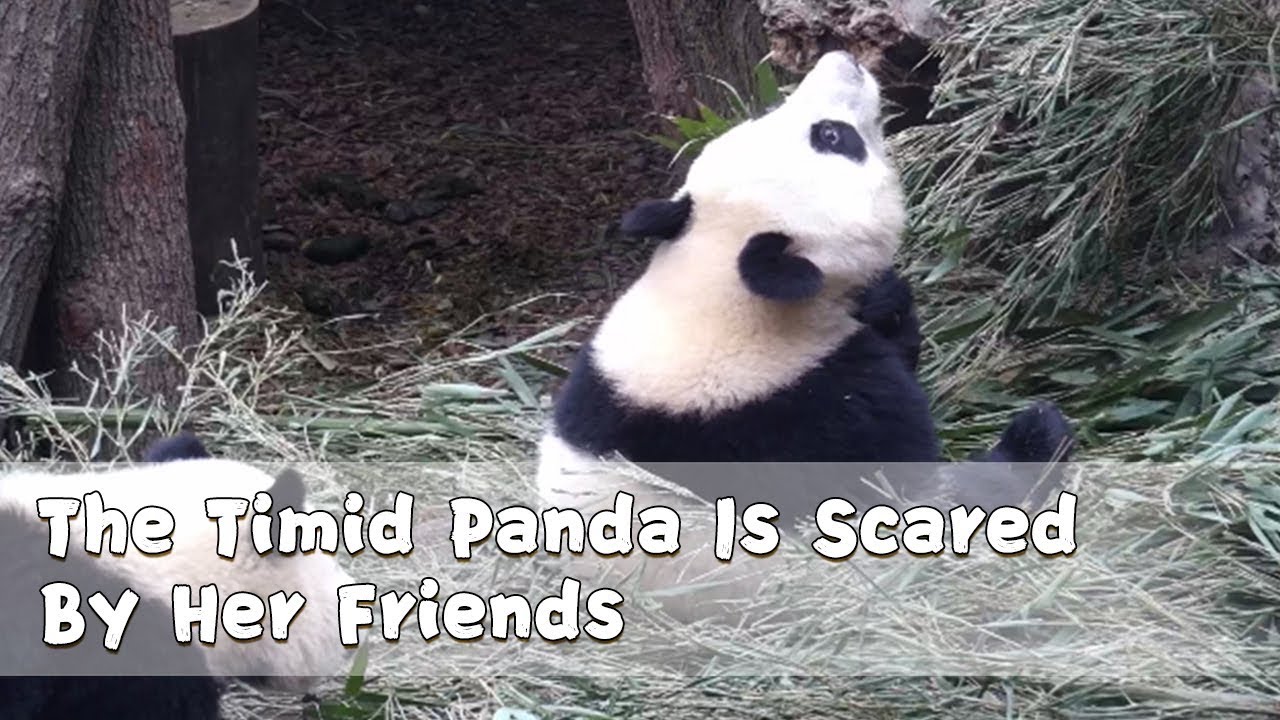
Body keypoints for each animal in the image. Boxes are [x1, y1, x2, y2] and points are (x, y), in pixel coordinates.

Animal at [536, 50, 1074, 529]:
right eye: (833, 136)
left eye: (766, 112)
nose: (844, 60)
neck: (725, 290)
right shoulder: (811, 416)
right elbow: (914, 496)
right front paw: (1035, 438)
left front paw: (887, 301)